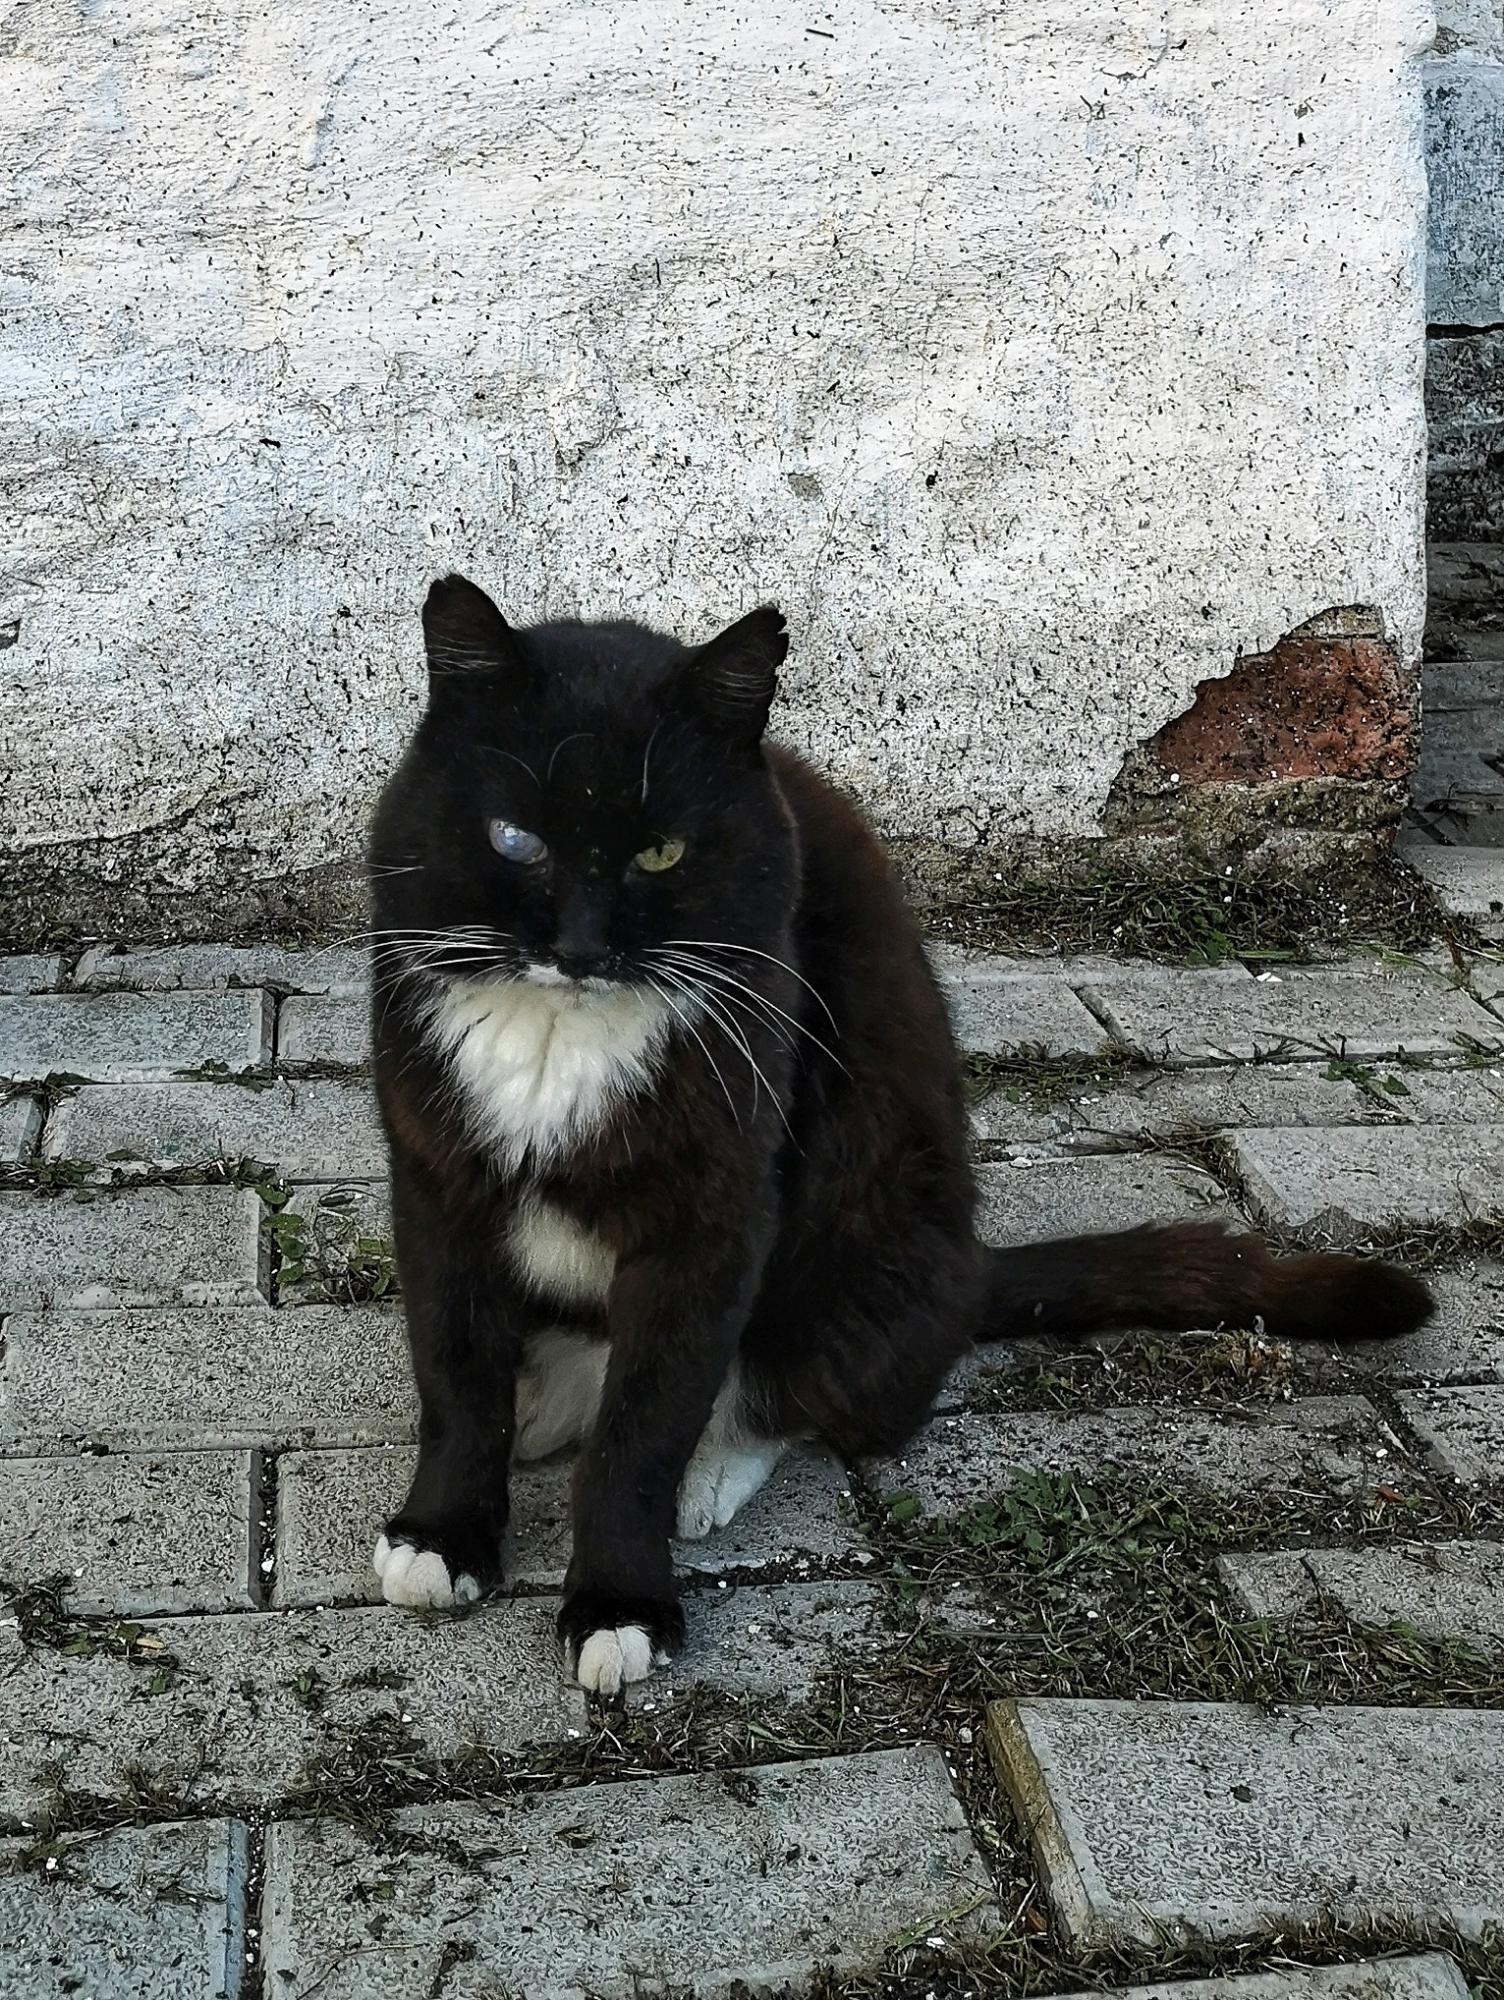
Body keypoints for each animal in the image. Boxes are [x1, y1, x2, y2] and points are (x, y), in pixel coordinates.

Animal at [364, 576, 1432, 1688]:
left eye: (662, 850)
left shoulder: (713, 1210)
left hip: (863, 1233)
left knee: (784, 1387)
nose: (580, 947)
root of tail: (966, 1269)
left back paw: (707, 1470)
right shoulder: (435, 1176)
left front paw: (620, 1598)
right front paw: (444, 1532)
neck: (559, 1037)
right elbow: (454, 1368)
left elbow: (648, 1419)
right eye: (514, 839)